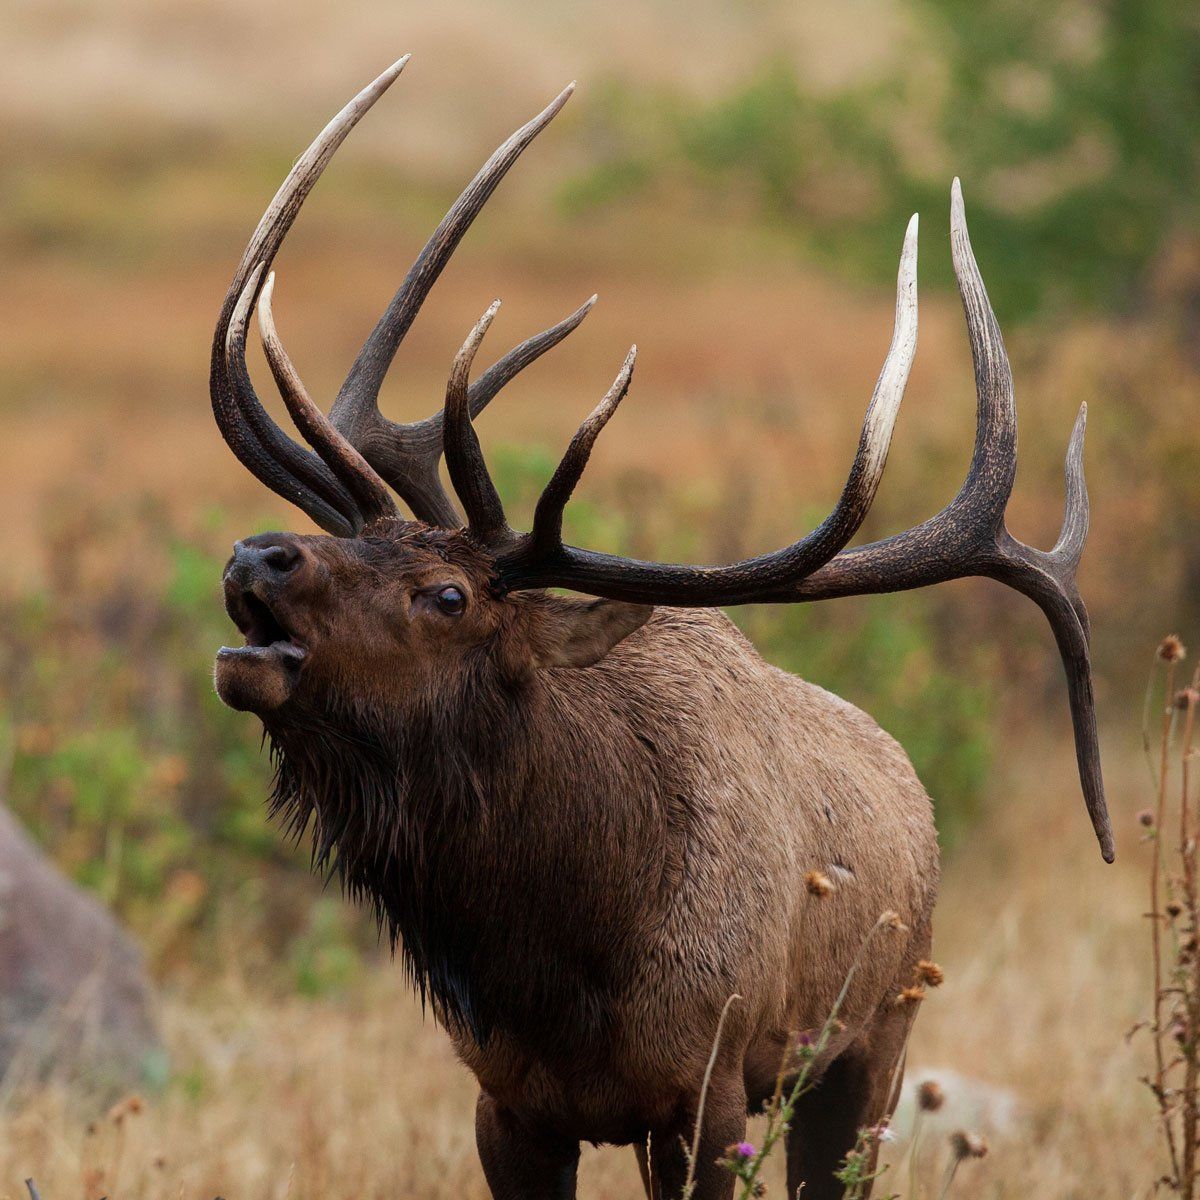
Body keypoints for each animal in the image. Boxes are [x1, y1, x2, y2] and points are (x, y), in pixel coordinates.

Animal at [208, 58, 1112, 1200]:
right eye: (354, 541)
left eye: (449, 596)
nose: (257, 555)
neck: (563, 959)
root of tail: (916, 792)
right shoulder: (504, 1101)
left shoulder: (703, 1090)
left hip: (876, 1042)